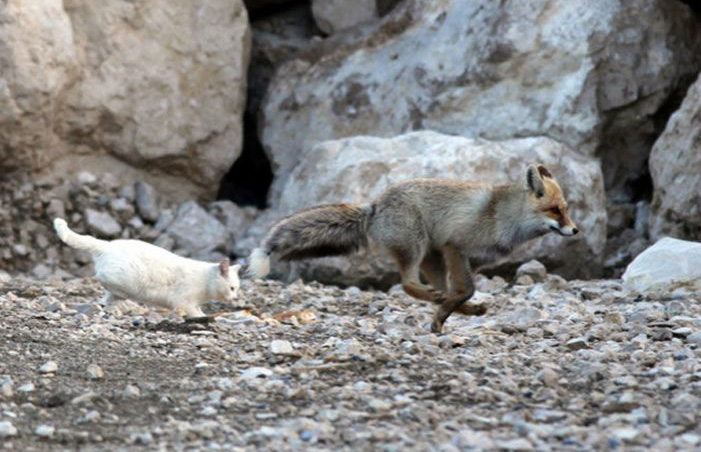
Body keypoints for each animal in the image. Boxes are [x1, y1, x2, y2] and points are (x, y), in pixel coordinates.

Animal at [53, 218, 241, 317]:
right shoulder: (184, 301)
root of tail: (108, 245)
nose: (235, 298)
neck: (206, 282)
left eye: (237, 289)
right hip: (127, 279)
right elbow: (196, 313)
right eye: (232, 288)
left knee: (105, 298)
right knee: (101, 279)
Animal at [247, 164, 578, 333]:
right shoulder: (455, 246)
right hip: (416, 248)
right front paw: (443, 315)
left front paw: (448, 314)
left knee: (437, 290)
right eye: (555, 211)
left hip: (431, 257)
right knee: (408, 284)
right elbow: (465, 290)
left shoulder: (467, 260)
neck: (501, 216)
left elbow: (461, 293)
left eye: (566, 210)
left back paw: (456, 308)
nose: (575, 230)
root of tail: (375, 205)